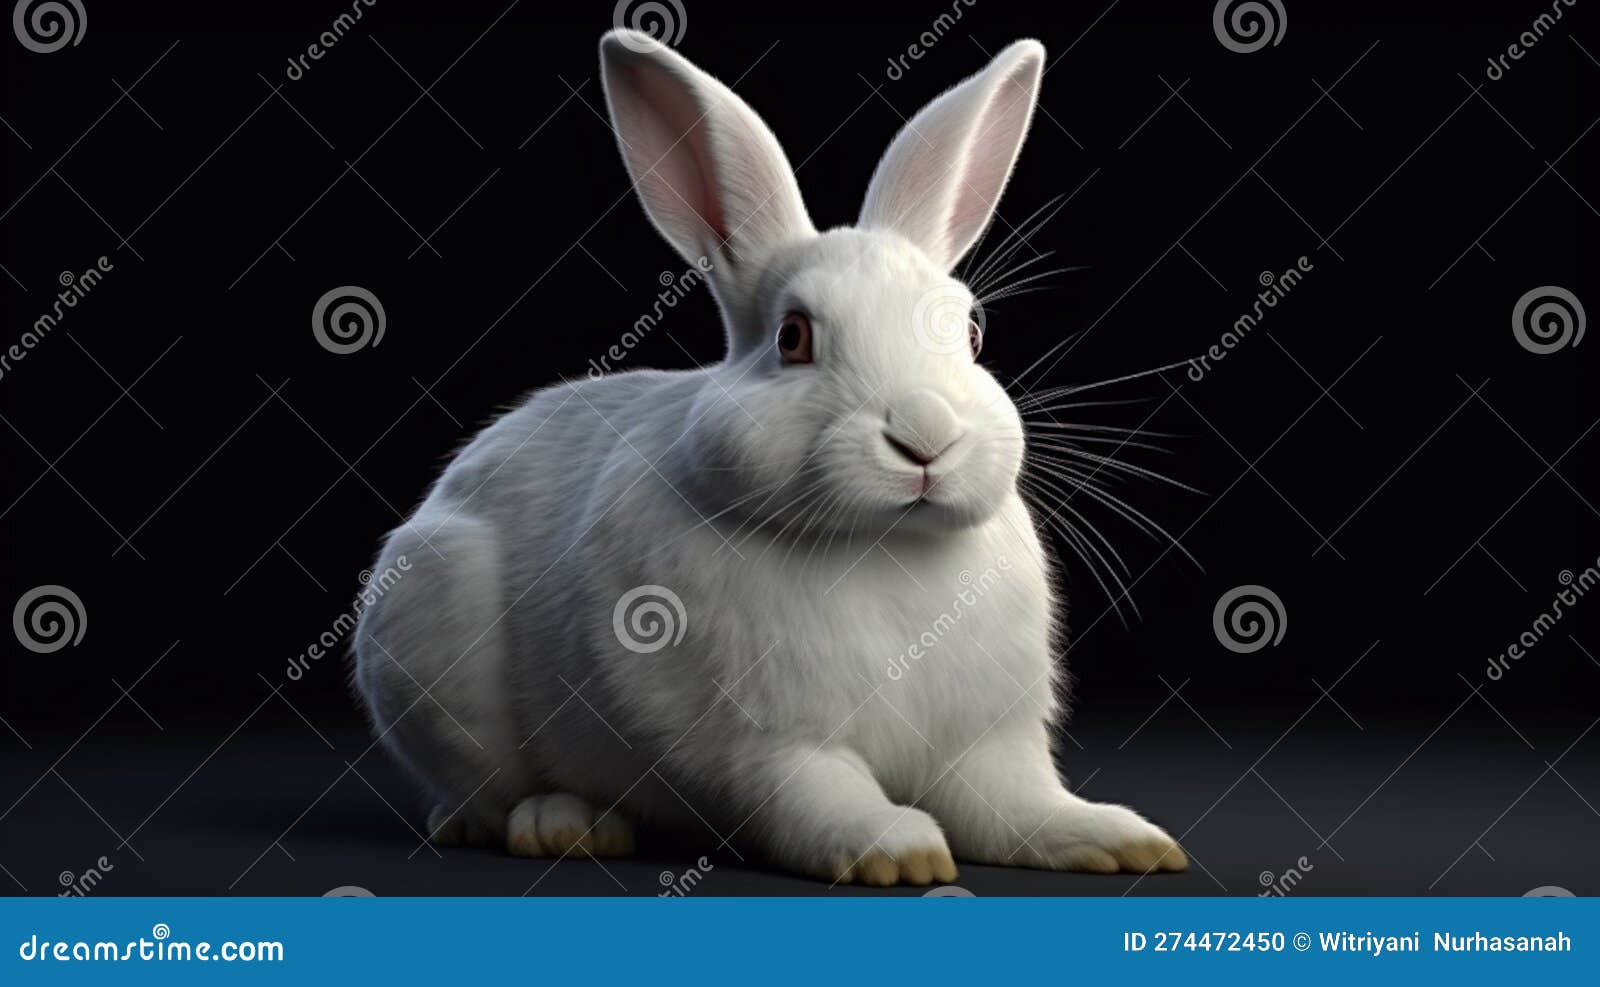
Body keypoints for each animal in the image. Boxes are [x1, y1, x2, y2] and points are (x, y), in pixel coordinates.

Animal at [351, 28, 1187, 885]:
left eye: (972, 331)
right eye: (793, 336)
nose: (926, 434)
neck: (884, 545)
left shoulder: (986, 743)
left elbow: (1016, 804)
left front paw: (1123, 839)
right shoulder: (761, 741)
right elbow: (814, 793)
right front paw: (899, 851)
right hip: (431, 633)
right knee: (479, 799)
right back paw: (565, 824)